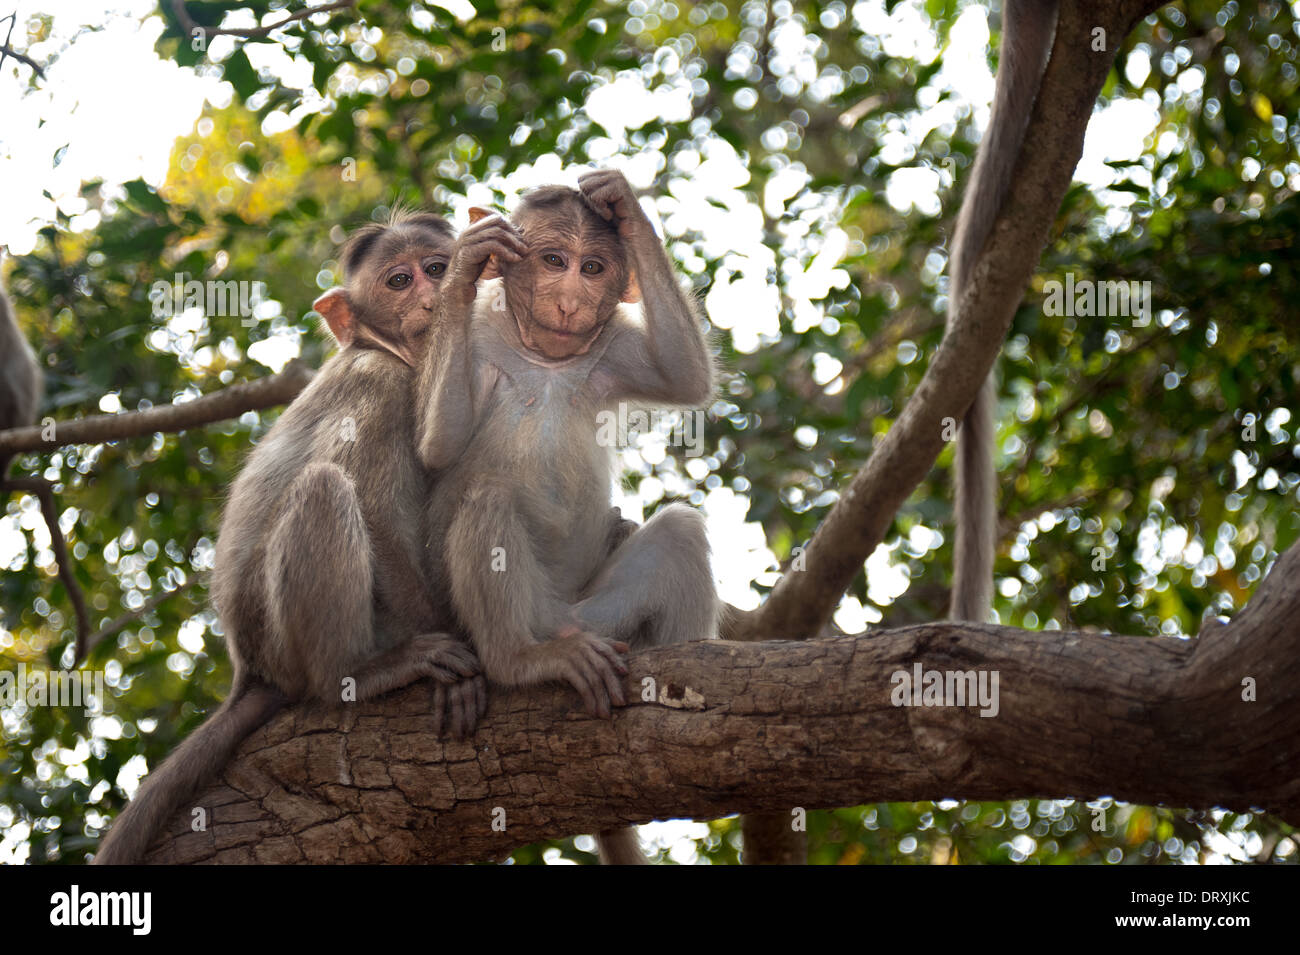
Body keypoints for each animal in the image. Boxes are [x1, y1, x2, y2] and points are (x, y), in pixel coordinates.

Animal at [94, 210, 487, 865]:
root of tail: (250, 669)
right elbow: (373, 509)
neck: (387, 352)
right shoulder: (376, 383)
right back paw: (357, 673)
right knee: (326, 487)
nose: (433, 298)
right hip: (282, 636)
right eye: (399, 281)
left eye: (437, 267)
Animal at [415, 170, 718, 864]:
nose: (571, 300)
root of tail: (561, 621)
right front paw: (471, 259)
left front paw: (625, 204)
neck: (545, 359)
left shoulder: (615, 349)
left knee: (680, 533)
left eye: (594, 267)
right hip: (529, 611)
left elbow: (686, 377)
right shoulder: (475, 343)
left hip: (599, 616)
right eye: (554, 261)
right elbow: (439, 445)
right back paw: (520, 660)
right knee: (489, 501)